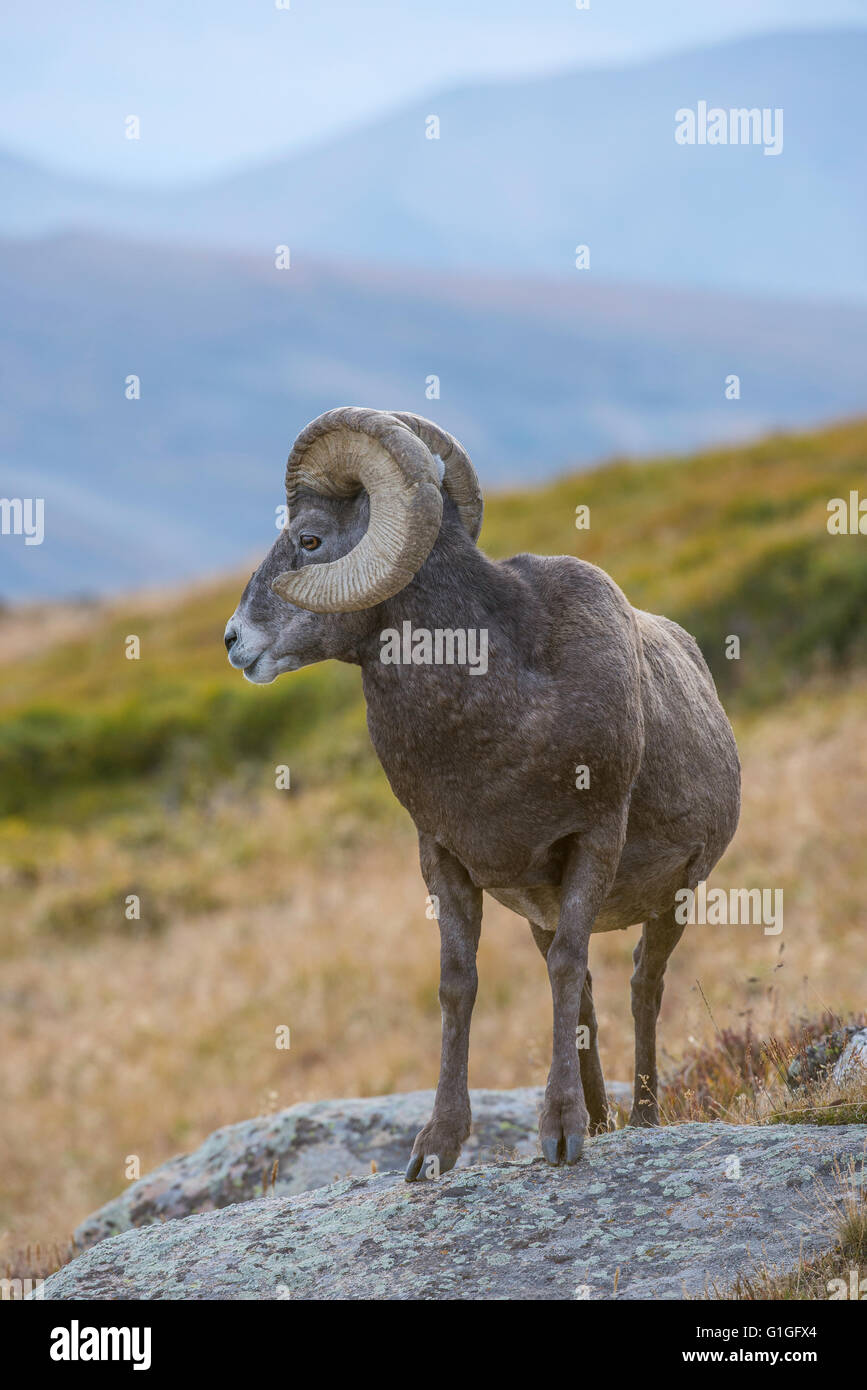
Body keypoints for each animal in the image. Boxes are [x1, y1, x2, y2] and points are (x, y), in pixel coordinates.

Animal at [224, 407, 741, 1177]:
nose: (234, 641)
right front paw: (436, 1149)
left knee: (640, 986)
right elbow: (459, 983)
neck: (495, 713)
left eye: (309, 539)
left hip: (672, 897)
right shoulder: (447, 861)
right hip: (541, 909)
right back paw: (602, 1120)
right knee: (585, 998)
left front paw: (559, 1135)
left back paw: (639, 1119)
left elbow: (570, 968)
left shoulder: (594, 839)